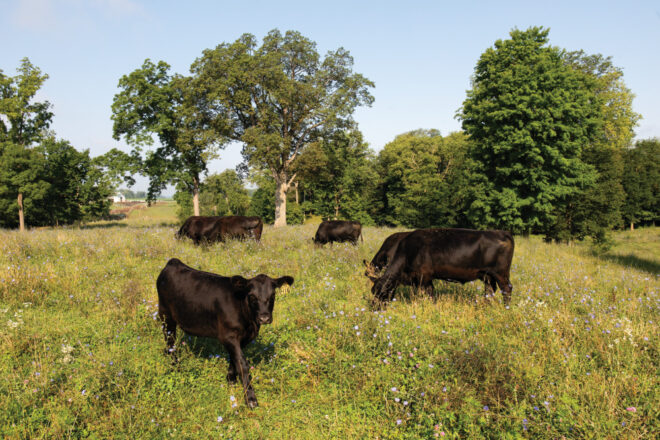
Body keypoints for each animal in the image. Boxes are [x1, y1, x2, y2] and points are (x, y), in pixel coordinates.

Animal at [156, 258, 294, 408]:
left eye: (273, 295)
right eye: (252, 296)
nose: (264, 318)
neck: (249, 321)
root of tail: (173, 262)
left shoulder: (244, 338)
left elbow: (235, 359)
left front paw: (231, 380)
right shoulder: (228, 335)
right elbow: (242, 364)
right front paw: (250, 398)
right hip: (166, 317)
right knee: (170, 344)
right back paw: (175, 368)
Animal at [369, 228, 514, 307]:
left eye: (382, 293)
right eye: (373, 291)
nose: (375, 308)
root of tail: (502, 232)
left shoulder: (424, 278)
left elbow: (428, 295)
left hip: (500, 274)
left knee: (506, 289)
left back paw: (506, 308)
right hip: (487, 276)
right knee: (489, 290)